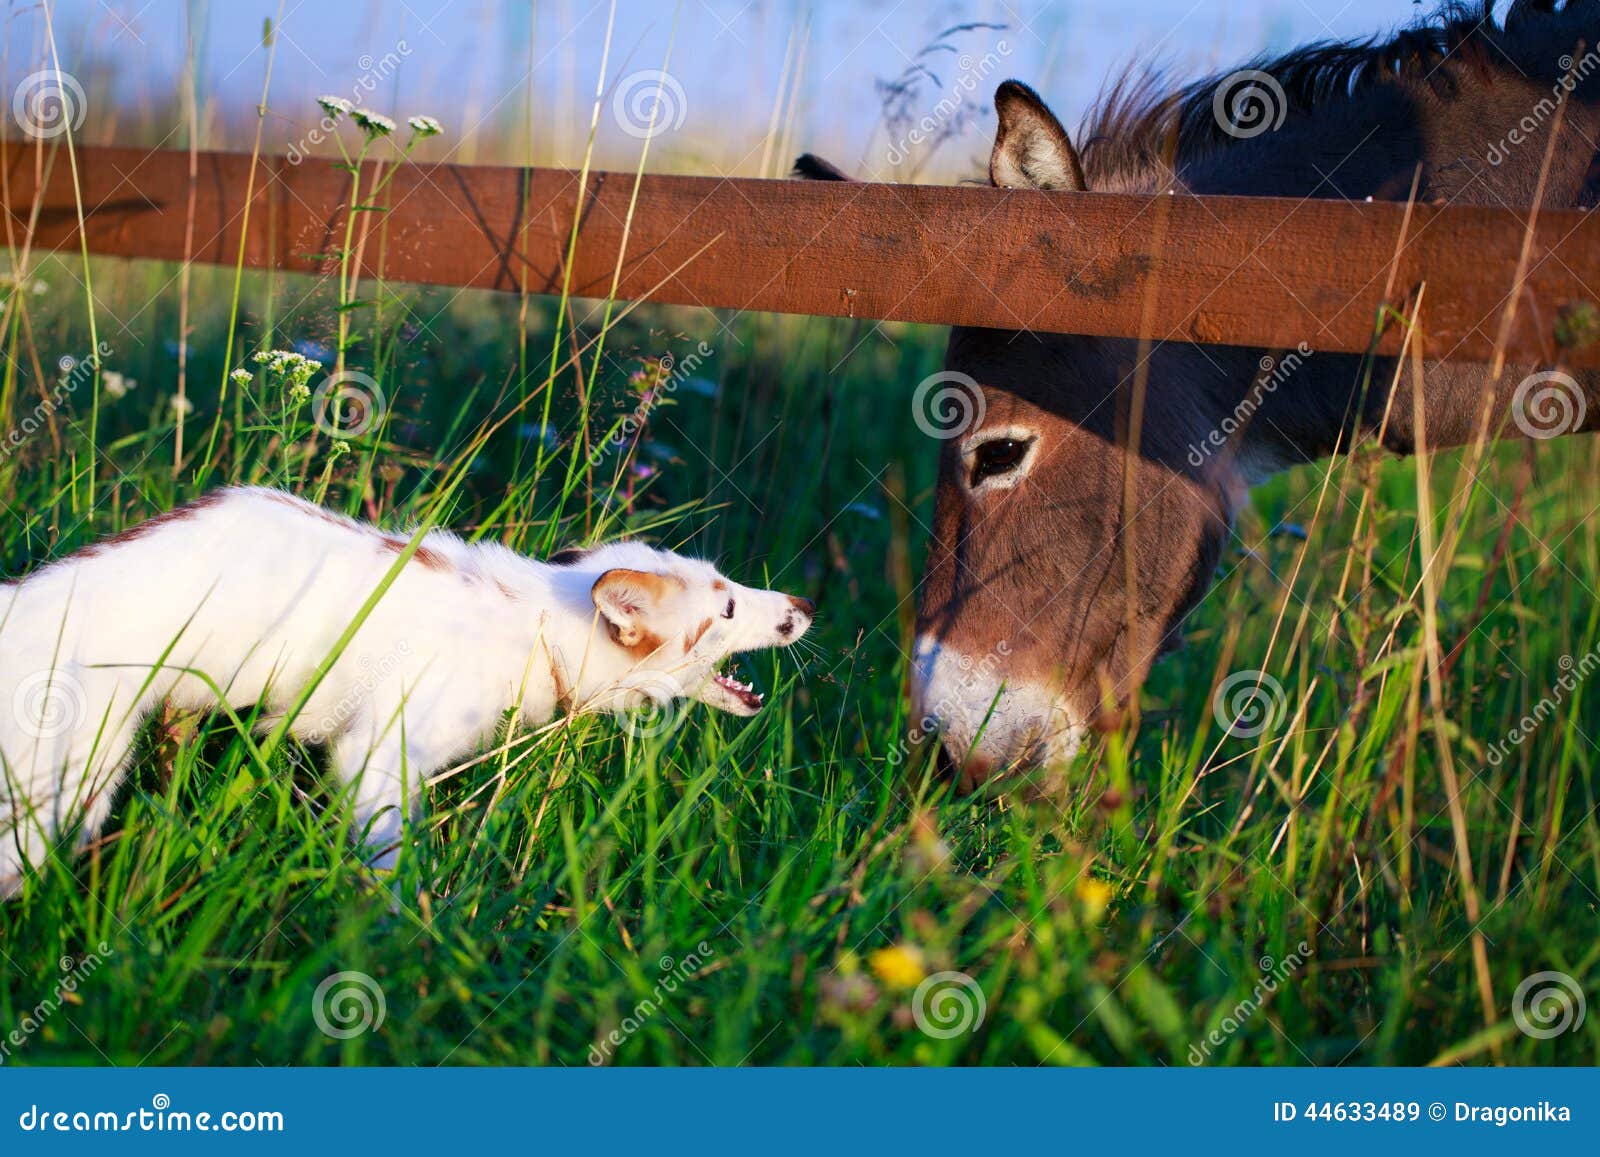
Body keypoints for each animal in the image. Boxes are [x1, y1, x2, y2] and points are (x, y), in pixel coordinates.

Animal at [0, 487, 815, 894]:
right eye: (727, 608)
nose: (807, 606)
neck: (538, 623)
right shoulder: (376, 754)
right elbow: (389, 869)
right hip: (63, 790)